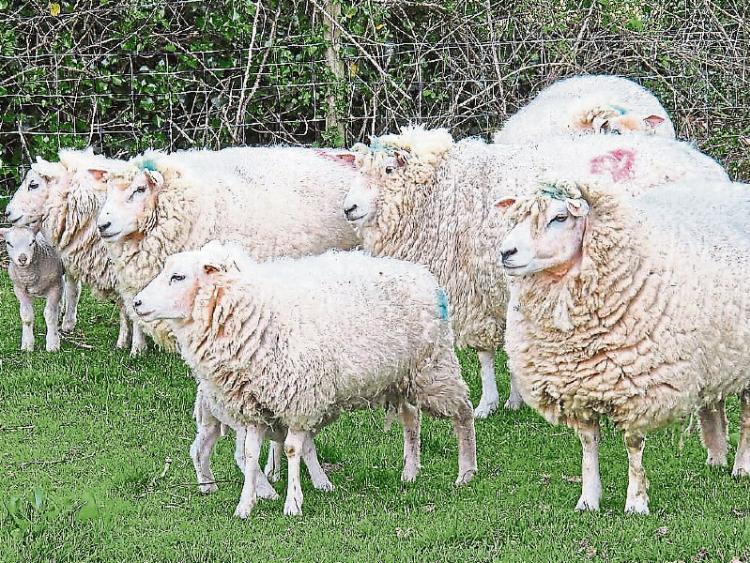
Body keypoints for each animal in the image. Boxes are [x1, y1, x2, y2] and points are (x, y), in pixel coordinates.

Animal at [4, 150, 144, 353]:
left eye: (33, 184)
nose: (6, 213)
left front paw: (137, 348)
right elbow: (125, 307)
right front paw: (124, 341)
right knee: (72, 288)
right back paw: (67, 320)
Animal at [132, 243, 477, 517]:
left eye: (178, 277)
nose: (136, 303)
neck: (250, 309)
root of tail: (423, 275)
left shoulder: (298, 400)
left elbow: (291, 450)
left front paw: (292, 503)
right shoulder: (253, 406)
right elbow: (250, 454)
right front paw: (246, 505)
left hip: (433, 367)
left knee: (463, 412)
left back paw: (466, 472)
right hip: (401, 377)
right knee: (411, 419)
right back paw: (410, 472)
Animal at [338, 126, 728, 418]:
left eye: (389, 171)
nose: (349, 208)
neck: (440, 191)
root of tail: (710, 167)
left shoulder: (476, 292)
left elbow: (485, 355)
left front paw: (487, 404)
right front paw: (514, 399)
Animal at [496, 179, 750, 515]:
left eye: (560, 218)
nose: (505, 252)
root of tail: (737, 188)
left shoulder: (639, 390)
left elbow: (633, 447)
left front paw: (636, 503)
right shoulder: (578, 388)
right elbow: (588, 445)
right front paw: (588, 500)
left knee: (746, 415)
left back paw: (741, 467)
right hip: (717, 356)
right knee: (714, 402)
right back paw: (716, 458)